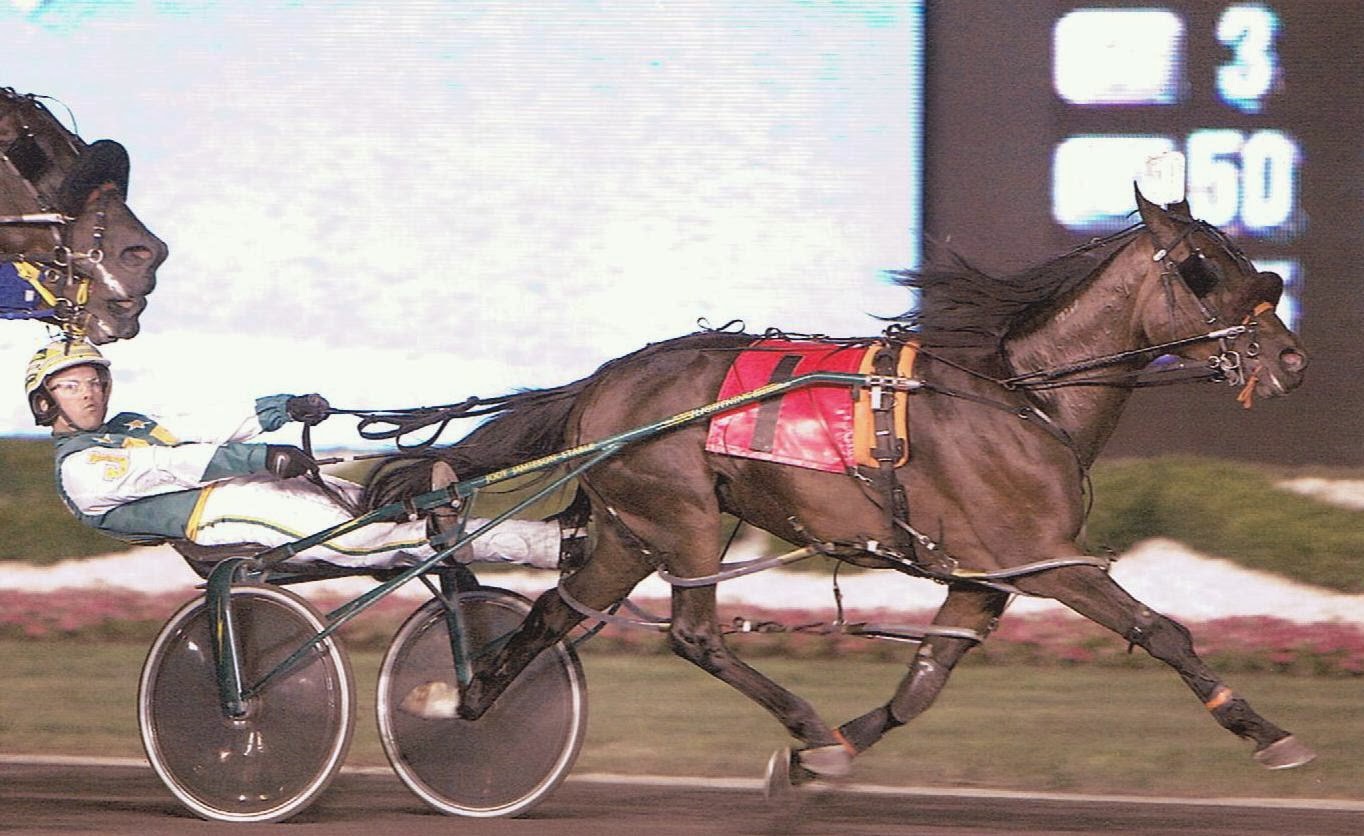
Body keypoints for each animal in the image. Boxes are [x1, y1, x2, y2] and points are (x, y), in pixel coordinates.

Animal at [365, 186, 1314, 788]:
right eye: (1201, 267)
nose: (1290, 357)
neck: (1024, 399)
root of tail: (601, 383)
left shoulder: (988, 575)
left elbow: (923, 681)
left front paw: (831, 755)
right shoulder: (1046, 558)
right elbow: (1163, 631)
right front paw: (1268, 733)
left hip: (630, 533)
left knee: (556, 611)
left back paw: (466, 695)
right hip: (684, 518)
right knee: (694, 635)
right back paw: (800, 720)